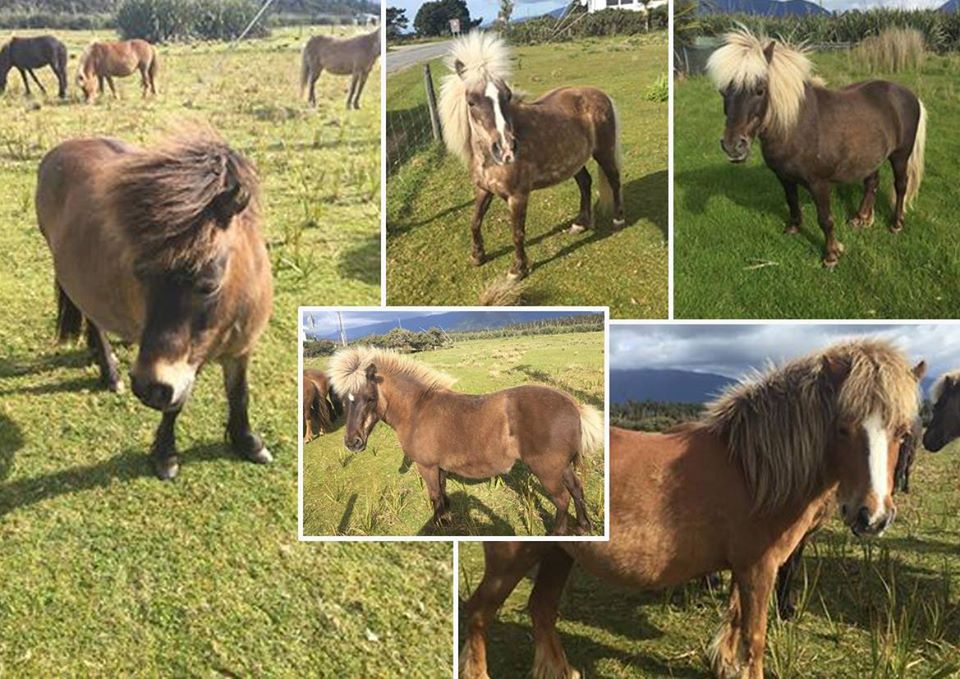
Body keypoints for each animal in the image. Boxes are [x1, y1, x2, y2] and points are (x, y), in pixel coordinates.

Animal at [35, 128, 274, 480]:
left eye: (209, 284)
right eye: (140, 274)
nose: (147, 387)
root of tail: (60, 150)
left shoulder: (241, 348)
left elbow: (239, 393)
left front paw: (248, 442)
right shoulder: (184, 366)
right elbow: (175, 404)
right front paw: (165, 455)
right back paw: (110, 373)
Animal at [328, 346, 602, 534]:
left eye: (369, 398)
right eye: (342, 400)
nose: (352, 442)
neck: (417, 410)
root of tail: (572, 404)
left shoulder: (427, 466)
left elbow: (435, 496)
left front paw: (438, 524)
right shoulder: (438, 467)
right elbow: (442, 493)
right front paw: (447, 519)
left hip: (547, 470)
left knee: (562, 499)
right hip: (561, 467)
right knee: (576, 490)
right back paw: (584, 526)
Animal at [438, 31, 624, 281]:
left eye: (507, 96)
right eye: (471, 101)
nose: (506, 149)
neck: (488, 160)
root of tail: (600, 94)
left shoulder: (517, 197)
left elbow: (517, 233)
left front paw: (518, 269)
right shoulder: (483, 189)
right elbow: (475, 222)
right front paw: (478, 256)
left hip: (604, 152)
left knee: (614, 179)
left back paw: (618, 219)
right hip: (574, 162)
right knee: (585, 183)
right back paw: (580, 224)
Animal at [461, 338, 925, 678]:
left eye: (903, 432)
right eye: (844, 428)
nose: (872, 516)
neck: (754, 470)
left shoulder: (745, 568)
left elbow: (735, 622)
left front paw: (725, 664)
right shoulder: (759, 568)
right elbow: (755, 637)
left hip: (559, 553)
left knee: (541, 610)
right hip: (511, 559)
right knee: (479, 613)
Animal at [707, 28, 927, 268]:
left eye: (759, 90)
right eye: (722, 91)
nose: (733, 146)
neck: (795, 126)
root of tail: (909, 95)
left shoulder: (819, 184)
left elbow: (825, 219)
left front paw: (831, 254)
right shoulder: (784, 177)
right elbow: (792, 201)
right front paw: (794, 227)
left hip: (900, 156)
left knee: (901, 185)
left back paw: (896, 223)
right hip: (871, 156)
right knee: (872, 182)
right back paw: (861, 218)